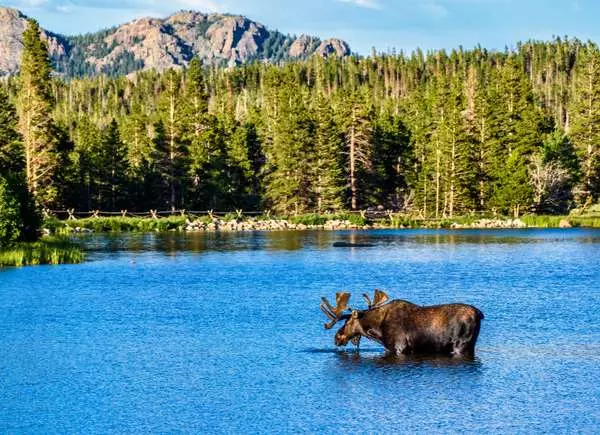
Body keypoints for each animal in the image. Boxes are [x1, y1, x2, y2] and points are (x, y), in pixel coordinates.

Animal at [318, 290, 482, 358]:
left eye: (348, 321)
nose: (337, 337)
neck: (377, 331)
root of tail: (480, 314)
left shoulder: (399, 347)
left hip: (461, 345)